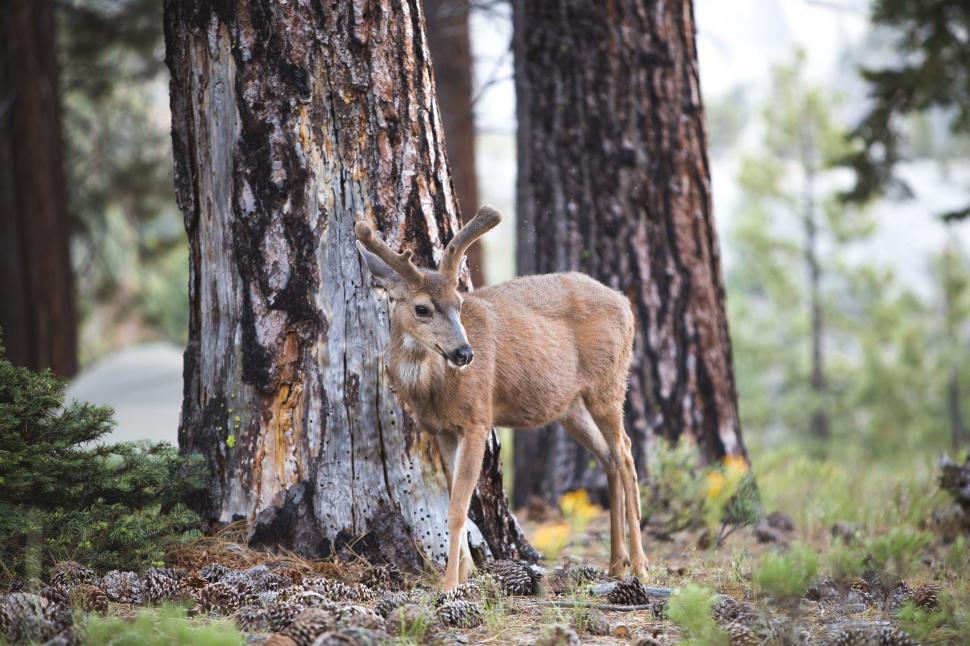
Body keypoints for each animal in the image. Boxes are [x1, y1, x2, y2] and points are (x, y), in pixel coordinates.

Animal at [354, 205, 648, 591]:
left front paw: (450, 585)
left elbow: (458, 507)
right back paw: (616, 564)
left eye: (458, 303)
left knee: (626, 454)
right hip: (570, 406)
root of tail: (626, 304)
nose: (464, 353)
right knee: (609, 457)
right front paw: (465, 573)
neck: (433, 387)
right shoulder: (440, 429)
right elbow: (455, 499)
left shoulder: (477, 418)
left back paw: (640, 566)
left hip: (608, 383)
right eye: (422, 308)